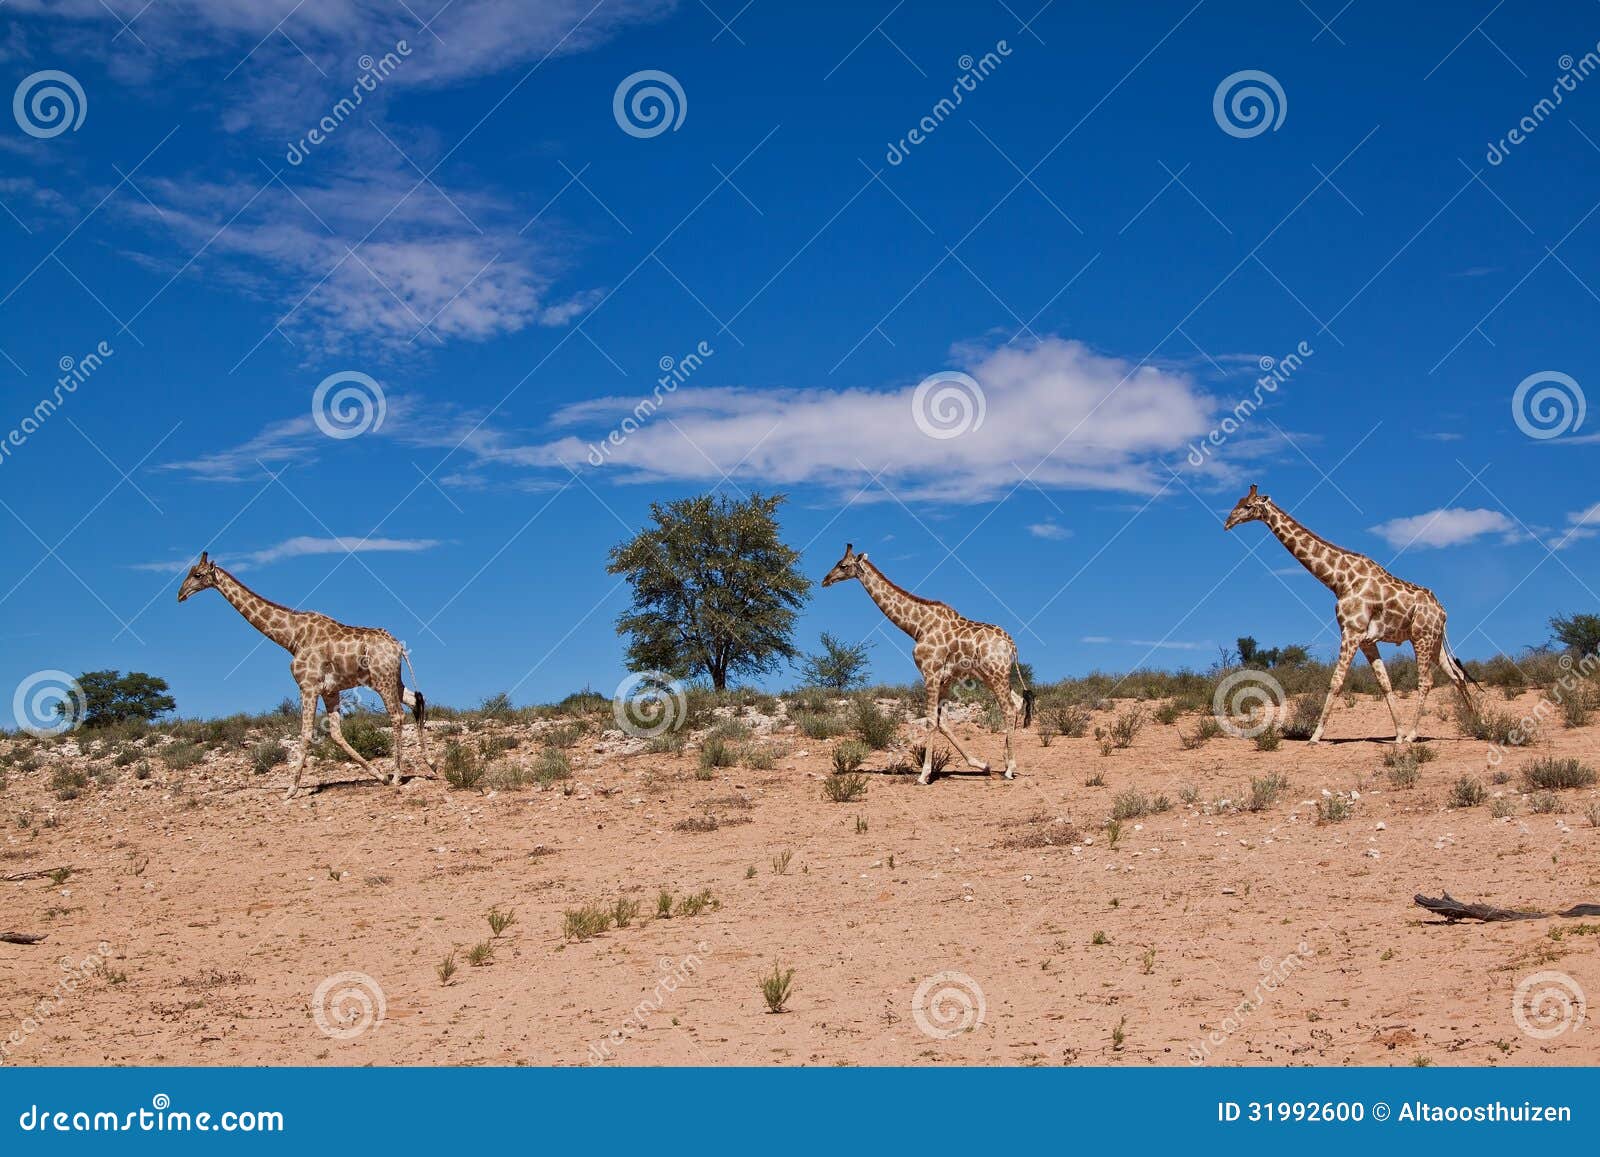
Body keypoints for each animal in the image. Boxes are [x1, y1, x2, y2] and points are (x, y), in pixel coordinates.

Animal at [177, 552, 433, 798]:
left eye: (198, 575)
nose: (180, 594)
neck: (291, 637)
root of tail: (397, 646)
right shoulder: (330, 691)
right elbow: (336, 734)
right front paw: (380, 776)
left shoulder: (307, 685)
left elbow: (306, 733)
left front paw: (291, 790)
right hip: (392, 679)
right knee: (416, 700)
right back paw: (430, 765)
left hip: (382, 680)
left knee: (397, 715)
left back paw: (399, 775)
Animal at [822, 544, 1033, 784]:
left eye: (843, 565)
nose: (825, 579)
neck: (918, 626)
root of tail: (1012, 644)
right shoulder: (945, 679)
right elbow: (942, 722)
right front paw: (981, 764)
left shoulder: (930, 672)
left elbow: (931, 720)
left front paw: (924, 774)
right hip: (991, 675)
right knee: (1017, 702)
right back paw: (1006, 764)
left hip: (996, 673)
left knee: (1008, 708)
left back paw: (1009, 769)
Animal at [1224, 485, 1478, 743]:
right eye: (1238, 502)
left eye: (1247, 506)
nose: (1228, 522)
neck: (1339, 580)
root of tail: (1443, 612)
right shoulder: (1366, 640)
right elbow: (1384, 683)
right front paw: (1398, 734)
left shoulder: (1351, 631)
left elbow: (1336, 681)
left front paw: (1316, 735)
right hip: (1434, 641)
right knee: (1457, 675)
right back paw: (1478, 726)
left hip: (1422, 637)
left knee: (1426, 681)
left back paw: (1414, 735)